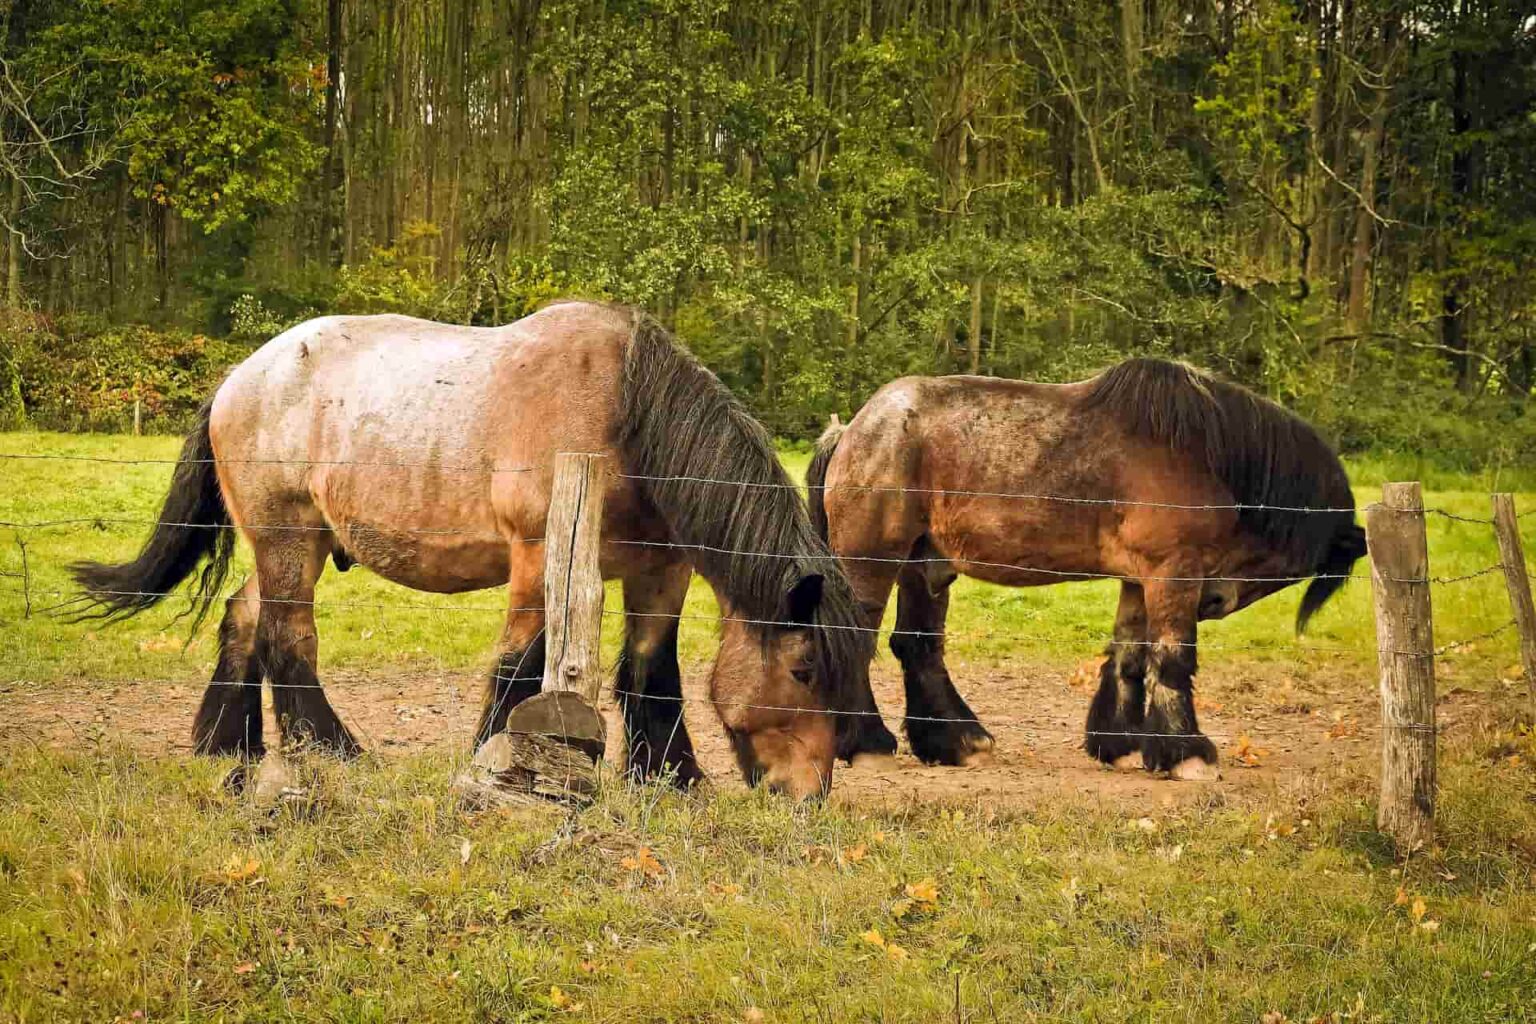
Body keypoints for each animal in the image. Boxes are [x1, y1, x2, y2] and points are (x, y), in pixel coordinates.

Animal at [69, 300, 898, 798]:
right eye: (803, 669)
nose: (807, 796)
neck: (627, 413)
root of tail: (239, 377)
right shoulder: (538, 560)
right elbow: (516, 667)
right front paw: (493, 759)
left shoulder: (660, 572)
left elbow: (651, 674)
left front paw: (672, 777)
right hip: (289, 538)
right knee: (286, 636)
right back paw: (331, 749)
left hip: (292, 544)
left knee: (246, 619)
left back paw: (230, 747)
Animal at [807, 359, 1366, 779]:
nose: (1214, 600)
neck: (1203, 455)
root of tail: (851, 430)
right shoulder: (1175, 572)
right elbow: (1173, 658)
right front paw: (1186, 753)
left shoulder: (1141, 580)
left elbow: (1130, 657)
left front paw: (1122, 744)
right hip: (875, 559)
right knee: (857, 638)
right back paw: (868, 742)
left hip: (925, 563)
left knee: (918, 645)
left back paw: (956, 741)